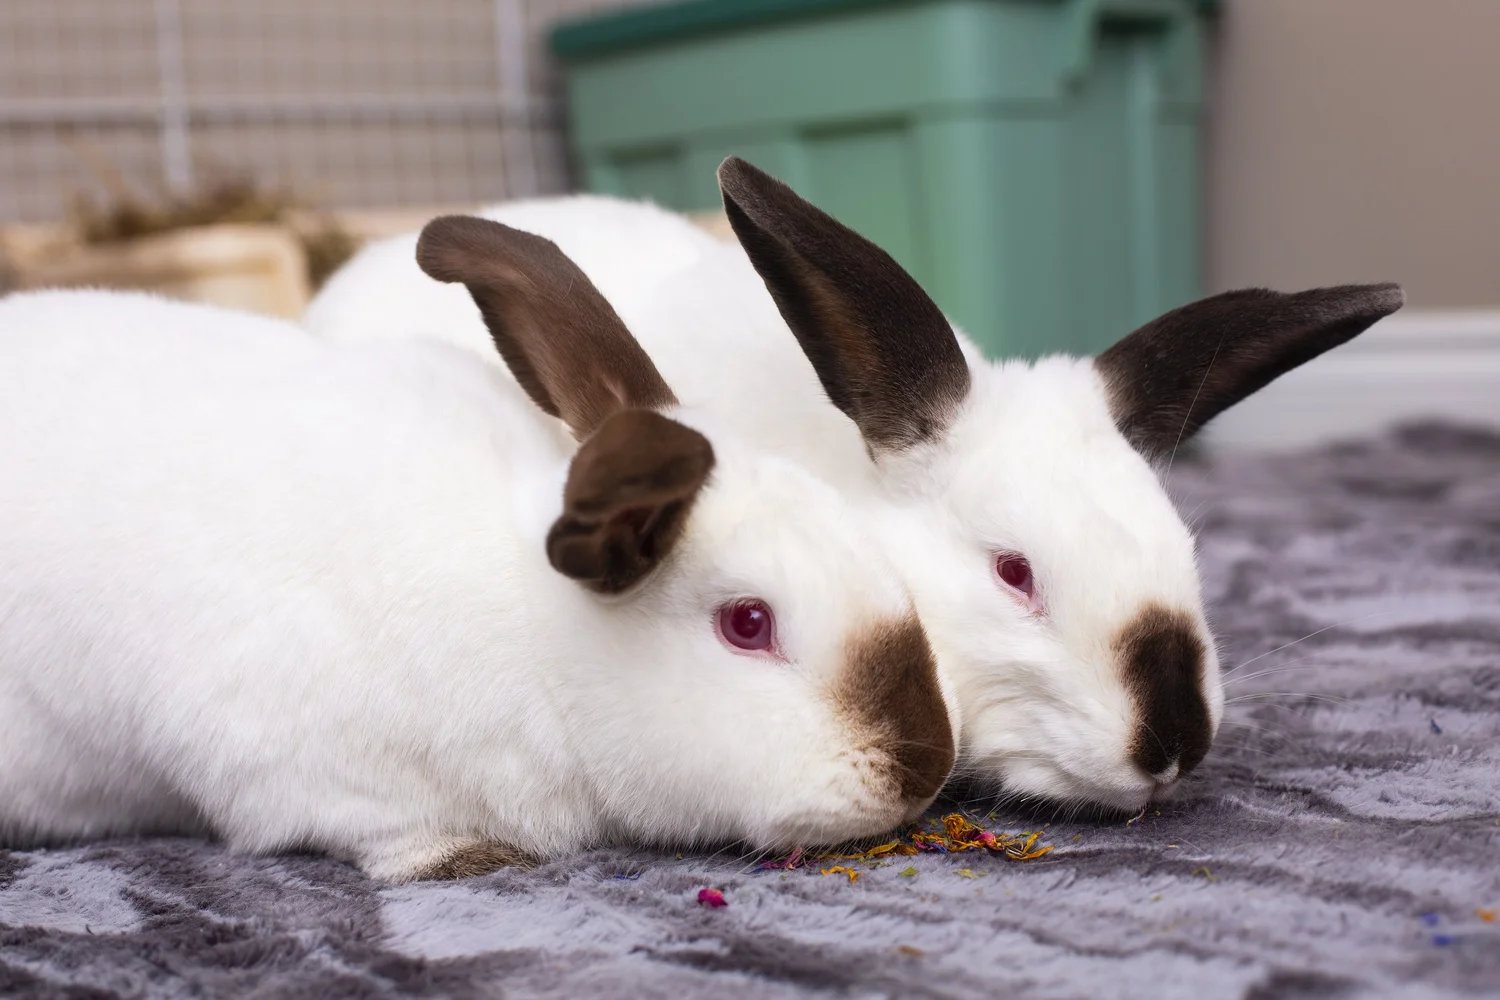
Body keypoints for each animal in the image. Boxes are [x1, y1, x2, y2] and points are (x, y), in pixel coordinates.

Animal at [0, 215, 957, 884]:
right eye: (748, 624)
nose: (926, 768)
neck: (537, 632)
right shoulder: (288, 765)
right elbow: (374, 830)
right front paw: (464, 858)